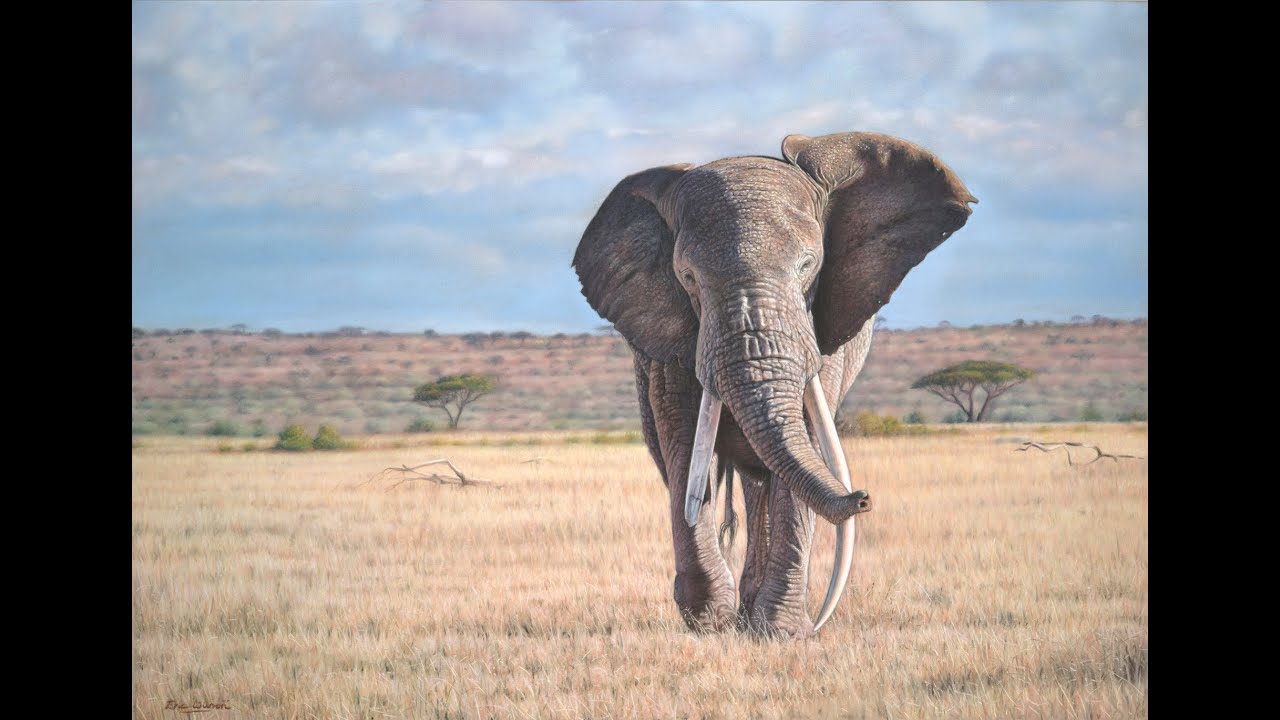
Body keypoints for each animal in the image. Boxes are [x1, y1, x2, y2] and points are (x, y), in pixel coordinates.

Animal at [572, 131, 976, 638]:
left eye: (809, 265)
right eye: (687, 277)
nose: (861, 498)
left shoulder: (823, 326)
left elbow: (808, 430)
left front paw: (781, 632)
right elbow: (681, 435)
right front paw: (709, 621)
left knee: (765, 475)